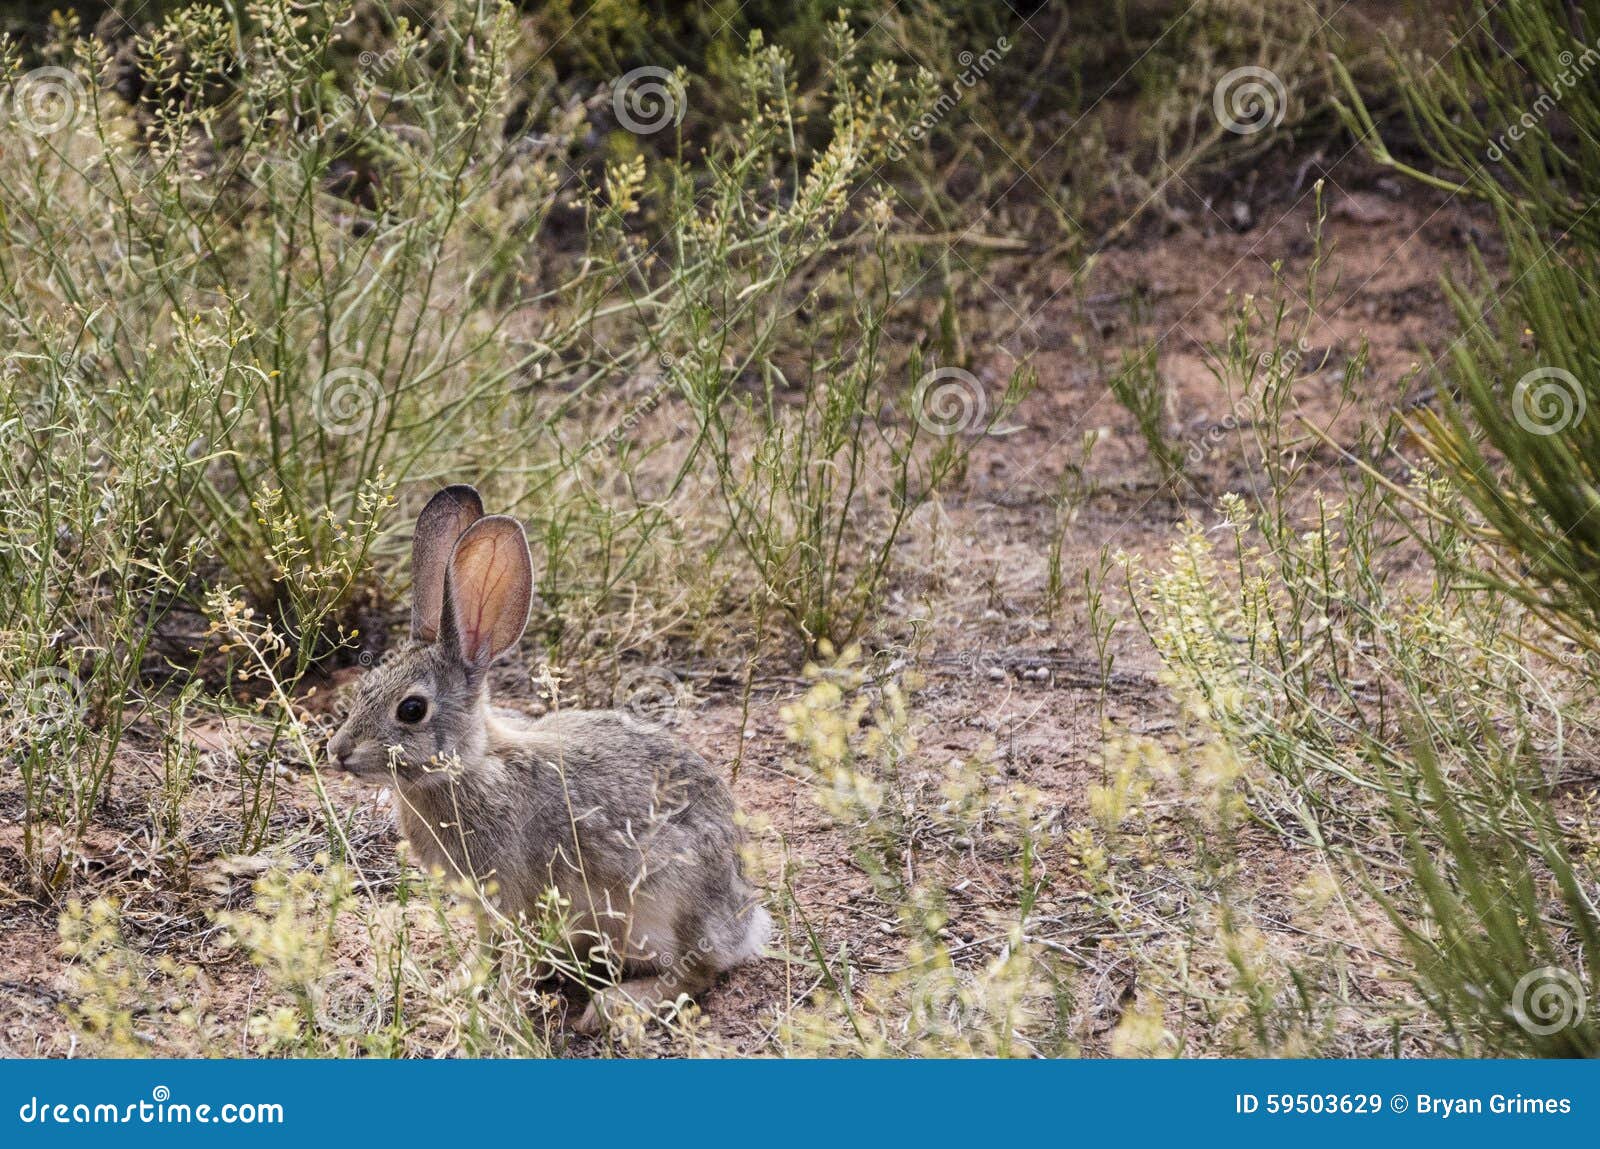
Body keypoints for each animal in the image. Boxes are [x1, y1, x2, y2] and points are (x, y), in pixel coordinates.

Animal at [325, 484, 771, 1032]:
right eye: (364, 685)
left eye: (411, 710)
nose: (338, 752)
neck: (469, 768)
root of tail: (743, 922)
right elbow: (485, 953)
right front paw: (458, 986)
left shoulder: (521, 901)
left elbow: (515, 959)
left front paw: (494, 1009)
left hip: (663, 909)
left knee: (696, 973)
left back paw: (616, 1005)